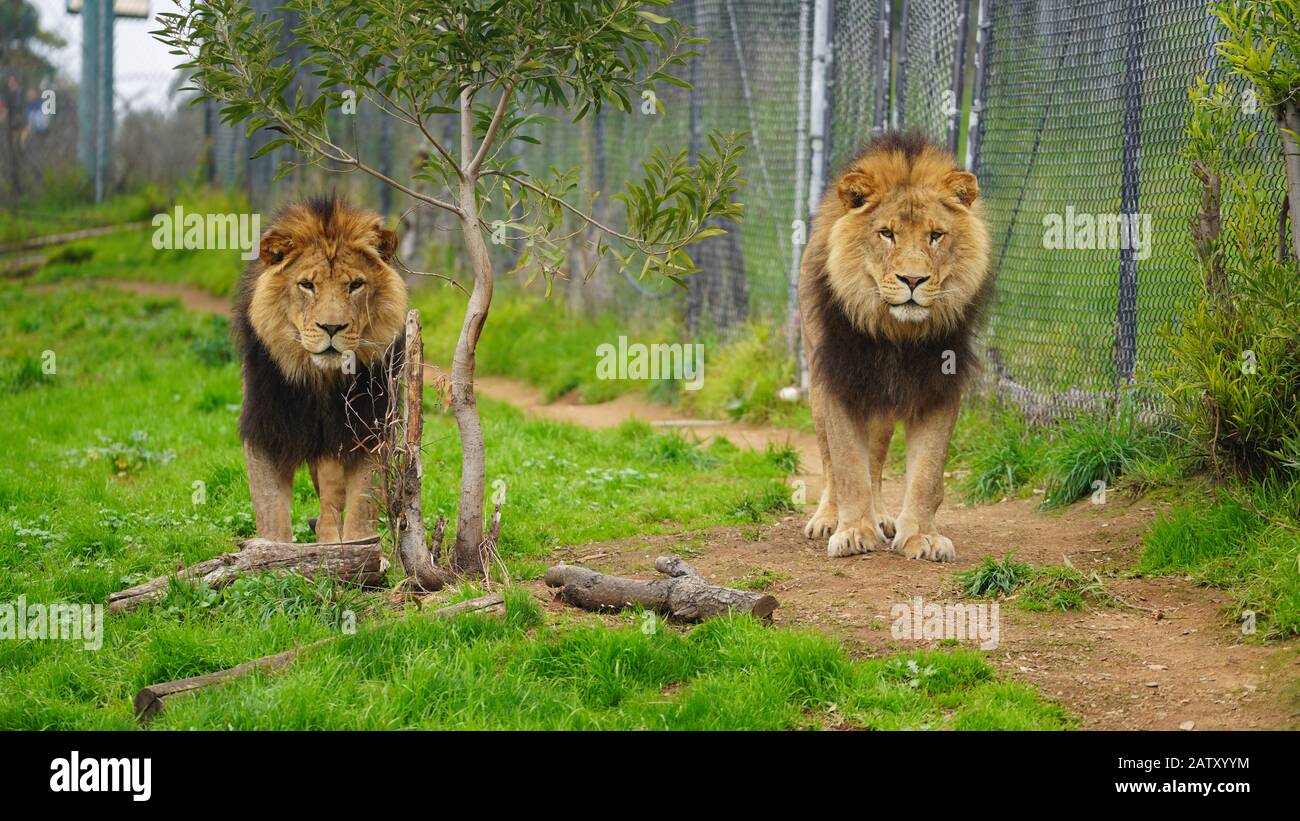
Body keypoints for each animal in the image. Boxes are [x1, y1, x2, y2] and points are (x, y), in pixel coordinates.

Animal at [232, 195, 407, 543]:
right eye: (307, 285)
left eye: (355, 285)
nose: (331, 327)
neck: (323, 378)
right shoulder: (265, 427)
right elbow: (270, 510)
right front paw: (271, 551)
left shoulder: (369, 430)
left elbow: (361, 506)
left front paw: (357, 551)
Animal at [798, 132, 992, 562]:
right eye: (886, 233)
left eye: (936, 235)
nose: (913, 280)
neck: (896, 334)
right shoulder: (839, 380)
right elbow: (847, 466)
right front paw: (854, 532)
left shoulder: (940, 385)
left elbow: (927, 473)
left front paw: (921, 536)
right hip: (817, 387)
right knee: (830, 460)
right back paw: (828, 519)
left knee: (875, 458)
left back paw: (882, 516)